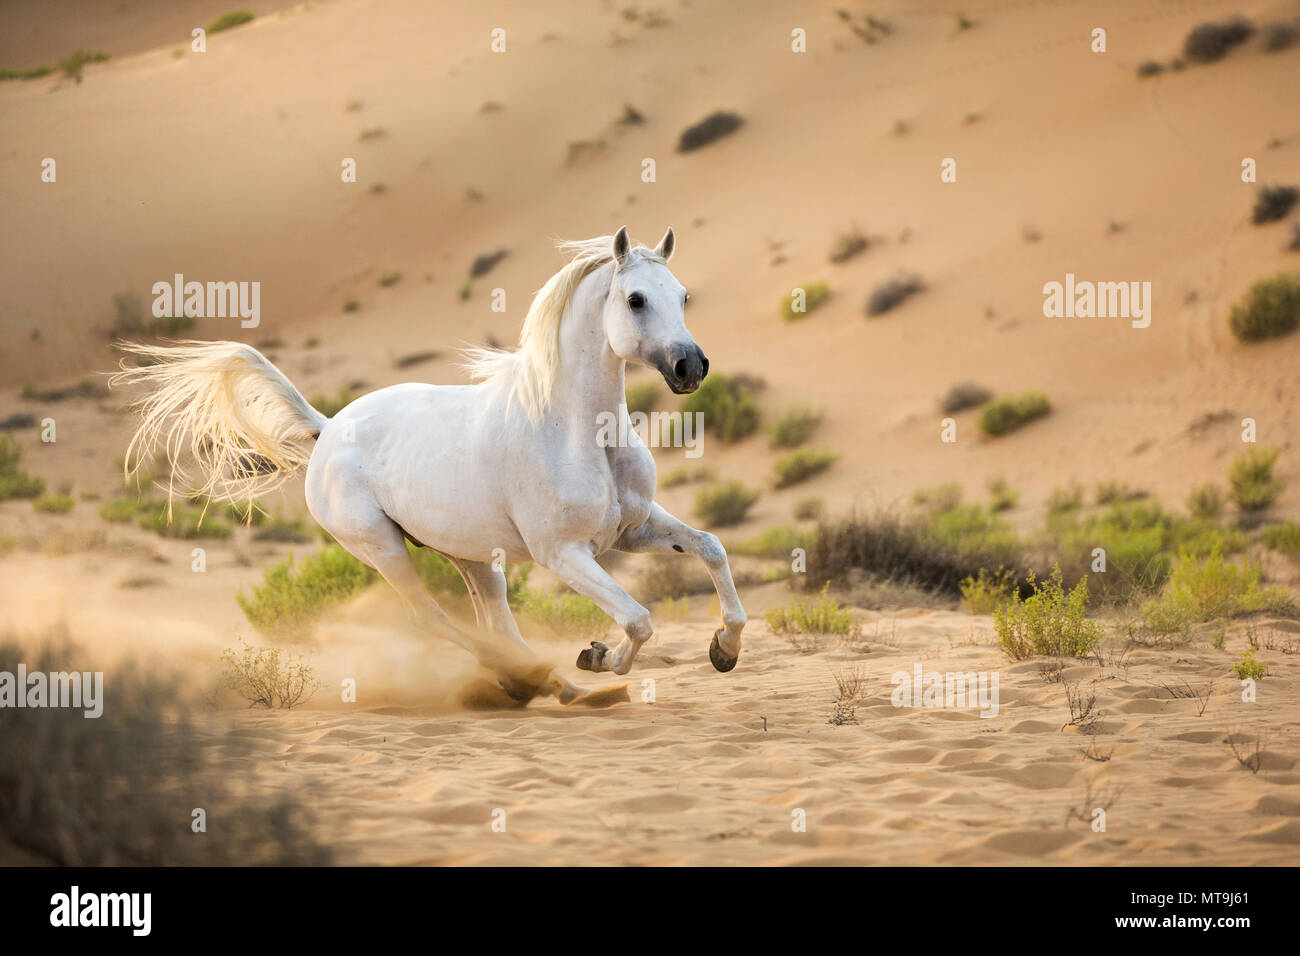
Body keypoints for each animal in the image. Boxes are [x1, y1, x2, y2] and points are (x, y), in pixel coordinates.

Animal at [112, 227, 748, 704]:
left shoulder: (632, 530)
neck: (576, 432)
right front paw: (597, 657)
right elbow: (639, 619)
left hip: (470, 556)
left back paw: (548, 685)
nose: (691, 367)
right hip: (383, 548)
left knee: (494, 619)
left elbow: (711, 547)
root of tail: (328, 429)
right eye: (636, 299)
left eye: (682, 295)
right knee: (435, 619)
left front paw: (724, 649)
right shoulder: (565, 553)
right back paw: (534, 680)